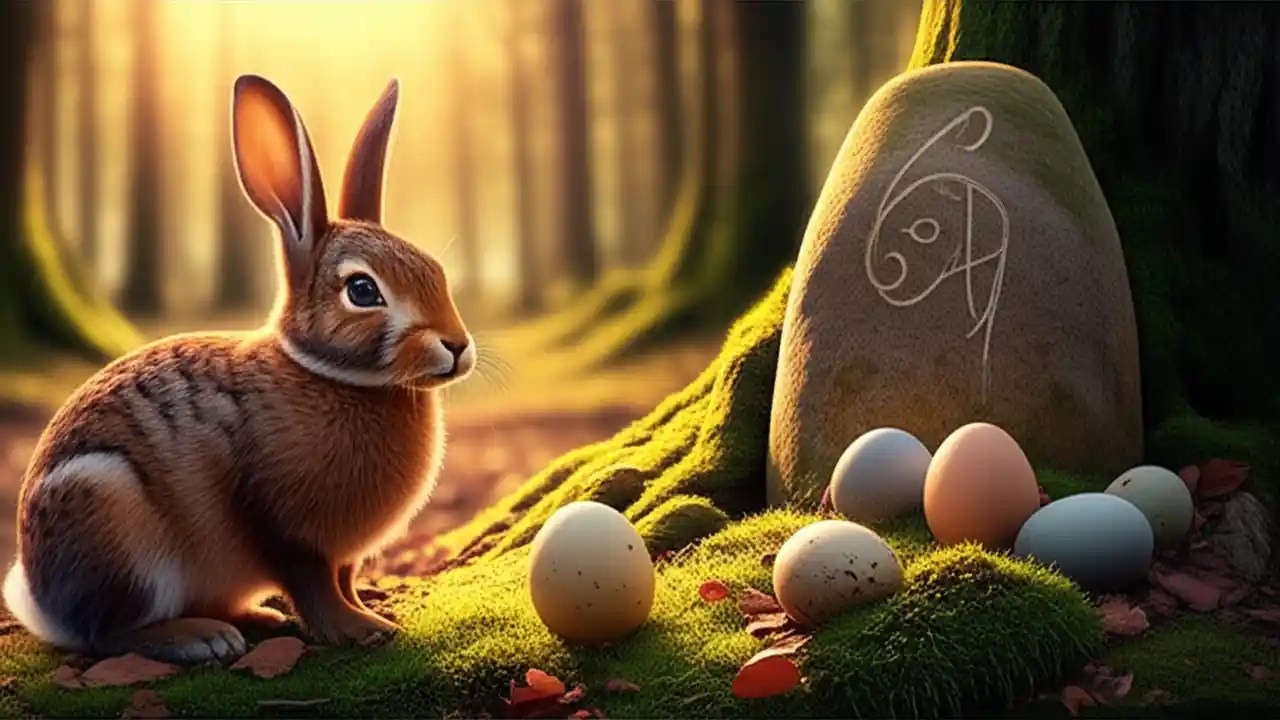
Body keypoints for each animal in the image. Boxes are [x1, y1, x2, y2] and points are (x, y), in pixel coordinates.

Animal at [2, 74, 476, 664]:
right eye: (363, 290)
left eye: (435, 270)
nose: (458, 346)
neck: (332, 375)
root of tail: (42, 602)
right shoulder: (285, 530)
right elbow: (314, 586)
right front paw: (359, 628)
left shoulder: (339, 553)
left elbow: (342, 578)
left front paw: (364, 610)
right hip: (110, 516)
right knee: (108, 634)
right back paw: (201, 637)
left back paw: (255, 616)